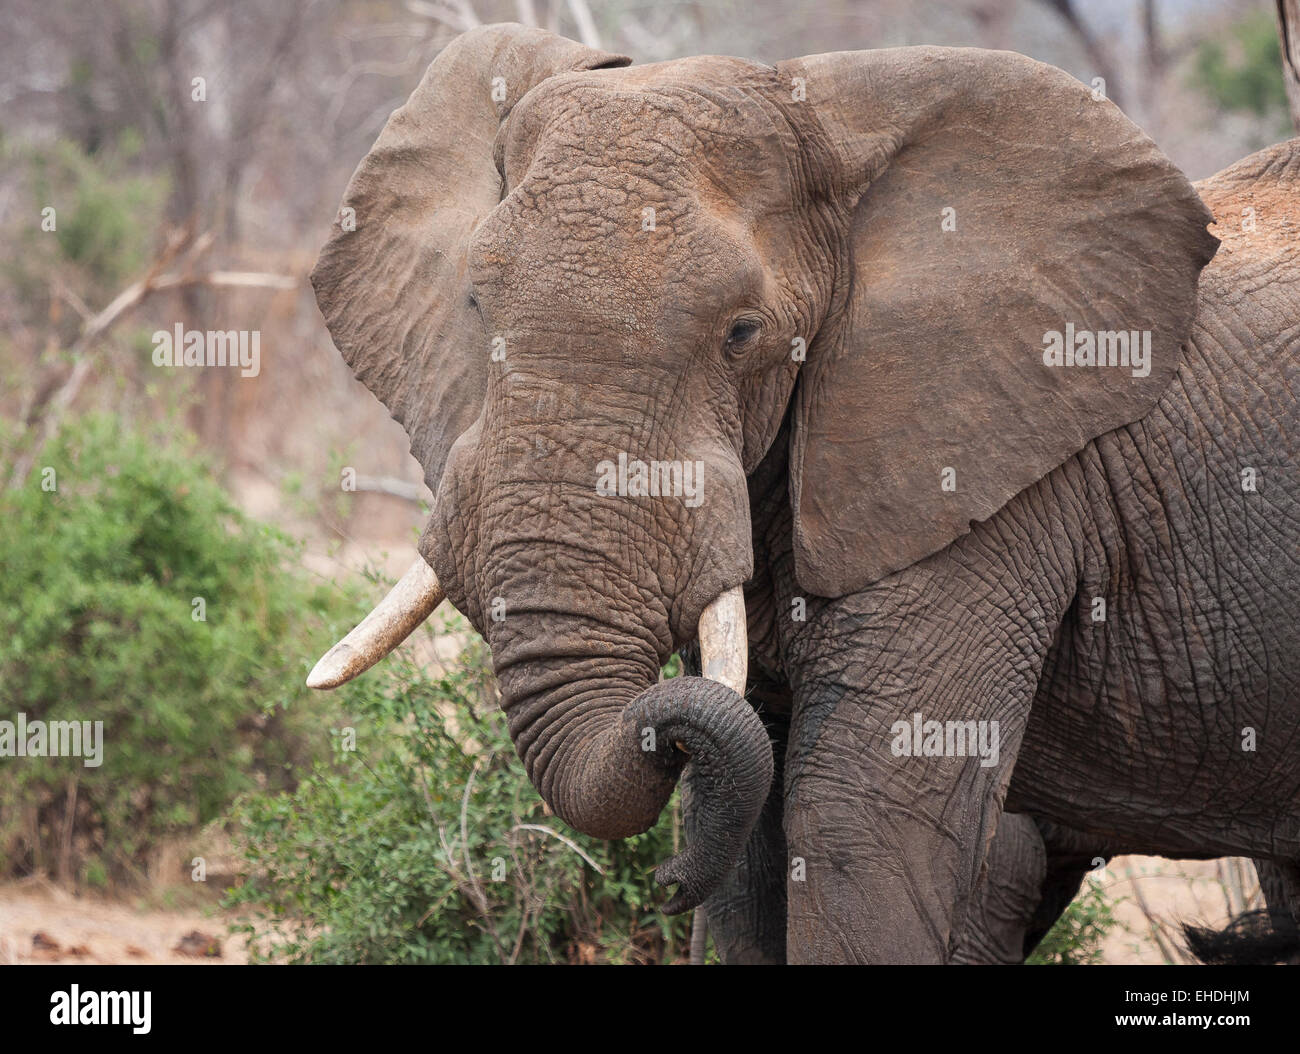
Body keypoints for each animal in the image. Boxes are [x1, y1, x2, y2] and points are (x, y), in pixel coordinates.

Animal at [306, 23, 1300, 964]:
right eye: (476, 308)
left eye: (743, 333)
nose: (667, 882)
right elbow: (759, 860)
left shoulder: (990, 480)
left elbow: (856, 826)